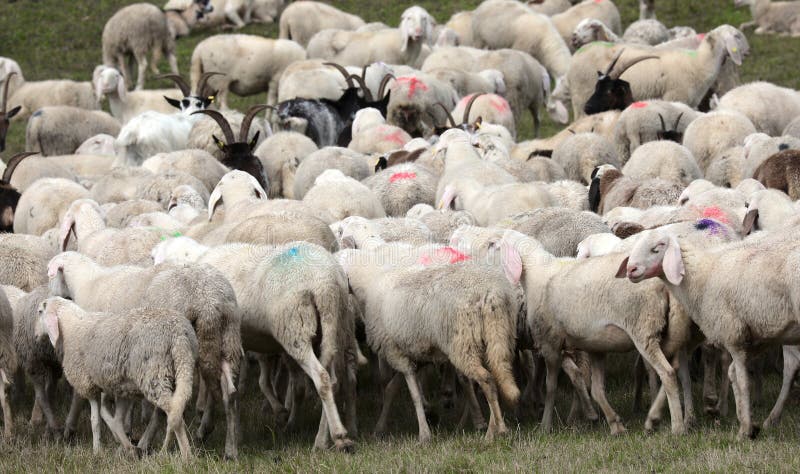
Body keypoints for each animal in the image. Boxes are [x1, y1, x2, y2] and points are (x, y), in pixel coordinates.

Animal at [37, 297, 197, 458]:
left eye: (39, 312)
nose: (35, 336)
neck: (71, 327)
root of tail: (178, 335)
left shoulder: (88, 385)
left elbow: (95, 420)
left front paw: (97, 451)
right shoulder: (123, 389)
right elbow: (116, 420)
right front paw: (128, 447)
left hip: (154, 374)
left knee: (174, 415)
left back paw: (186, 456)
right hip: (179, 372)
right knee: (169, 413)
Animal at [152, 237, 357, 451]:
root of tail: (327, 283)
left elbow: (212, 387)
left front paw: (206, 428)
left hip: (295, 329)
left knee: (322, 378)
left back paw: (330, 437)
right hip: (333, 329)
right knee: (333, 381)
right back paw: (331, 437)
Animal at [622, 222, 800, 438]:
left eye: (658, 247)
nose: (630, 269)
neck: (703, 274)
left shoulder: (733, 335)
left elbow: (741, 380)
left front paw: (744, 429)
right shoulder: (754, 339)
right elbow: (730, 374)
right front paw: (745, 422)